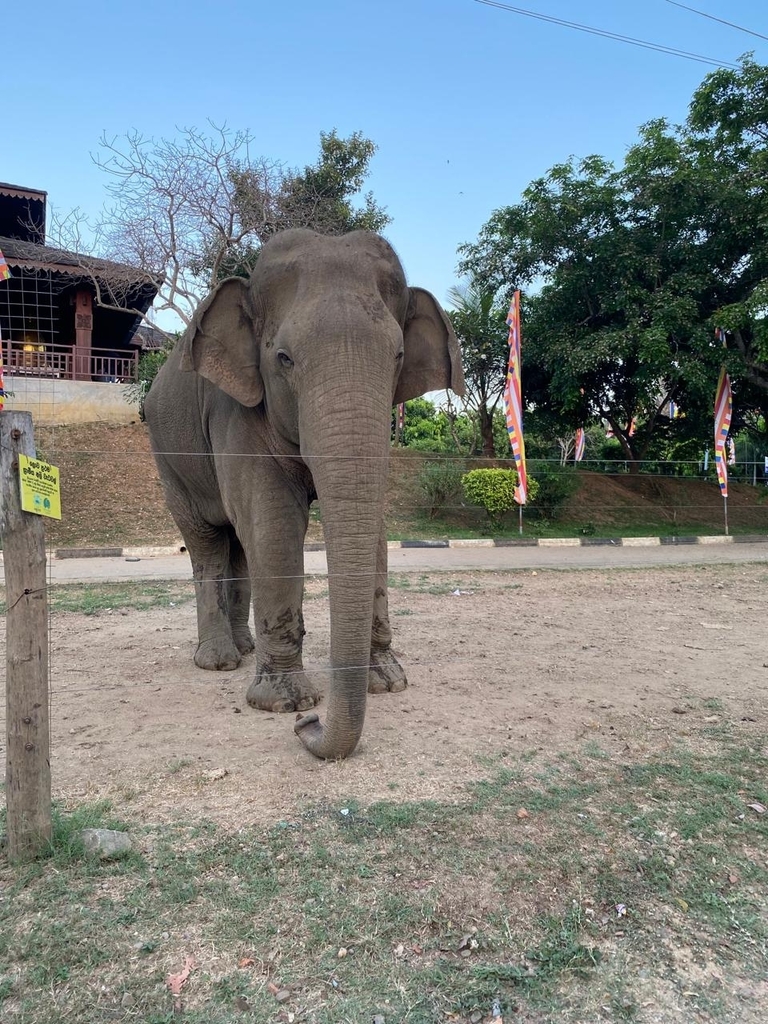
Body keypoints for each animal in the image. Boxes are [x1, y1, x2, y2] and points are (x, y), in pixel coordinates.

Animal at [144, 229, 465, 759]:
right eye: (284, 359)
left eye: (398, 357)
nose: (308, 726)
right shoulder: (235, 412)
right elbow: (274, 524)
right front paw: (285, 703)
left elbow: (371, 529)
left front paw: (388, 682)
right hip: (169, 462)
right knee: (209, 544)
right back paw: (219, 661)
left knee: (239, 546)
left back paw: (245, 649)